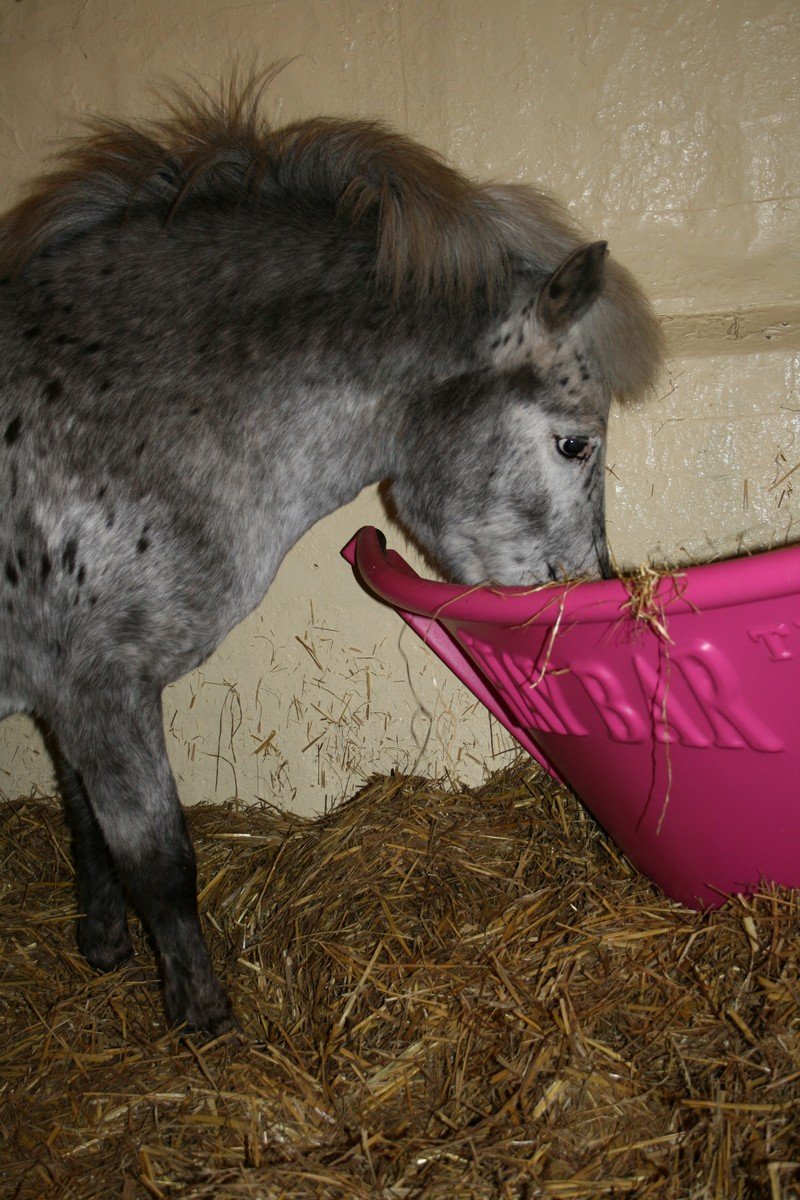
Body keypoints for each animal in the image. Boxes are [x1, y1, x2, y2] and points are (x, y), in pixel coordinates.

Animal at [0, 75, 662, 1034]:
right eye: (574, 444)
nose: (589, 590)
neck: (104, 424)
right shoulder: (101, 685)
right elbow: (159, 862)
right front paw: (203, 1022)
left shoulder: (68, 692)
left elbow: (85, 822)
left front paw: (103, 946)